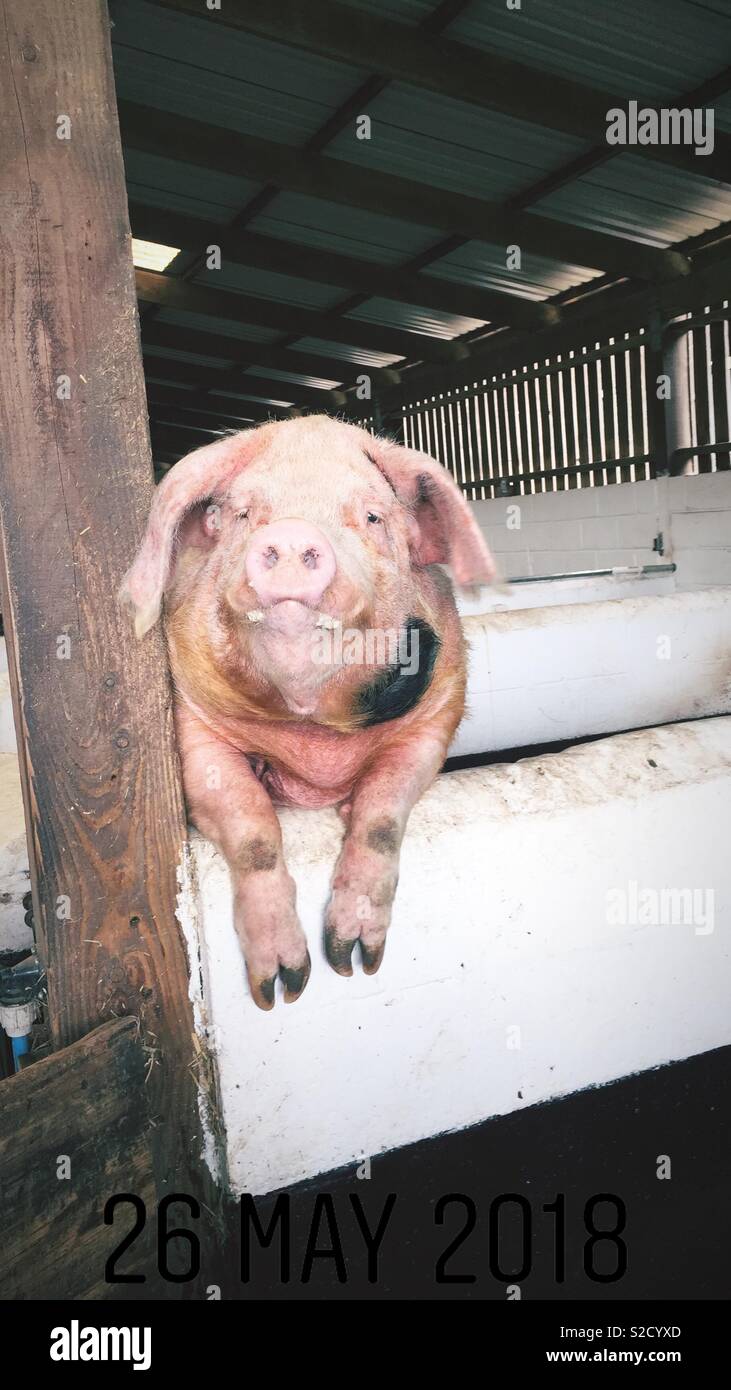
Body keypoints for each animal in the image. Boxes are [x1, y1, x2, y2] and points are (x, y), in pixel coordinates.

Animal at [121, 415, 495, 1009]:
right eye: (244, 514)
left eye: (372, 517)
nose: (294, 533)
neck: (312, 728)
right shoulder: (192, 723)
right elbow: (252, 830)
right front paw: (283, 990)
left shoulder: (436, 716)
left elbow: (382, 818)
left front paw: (354, 964)